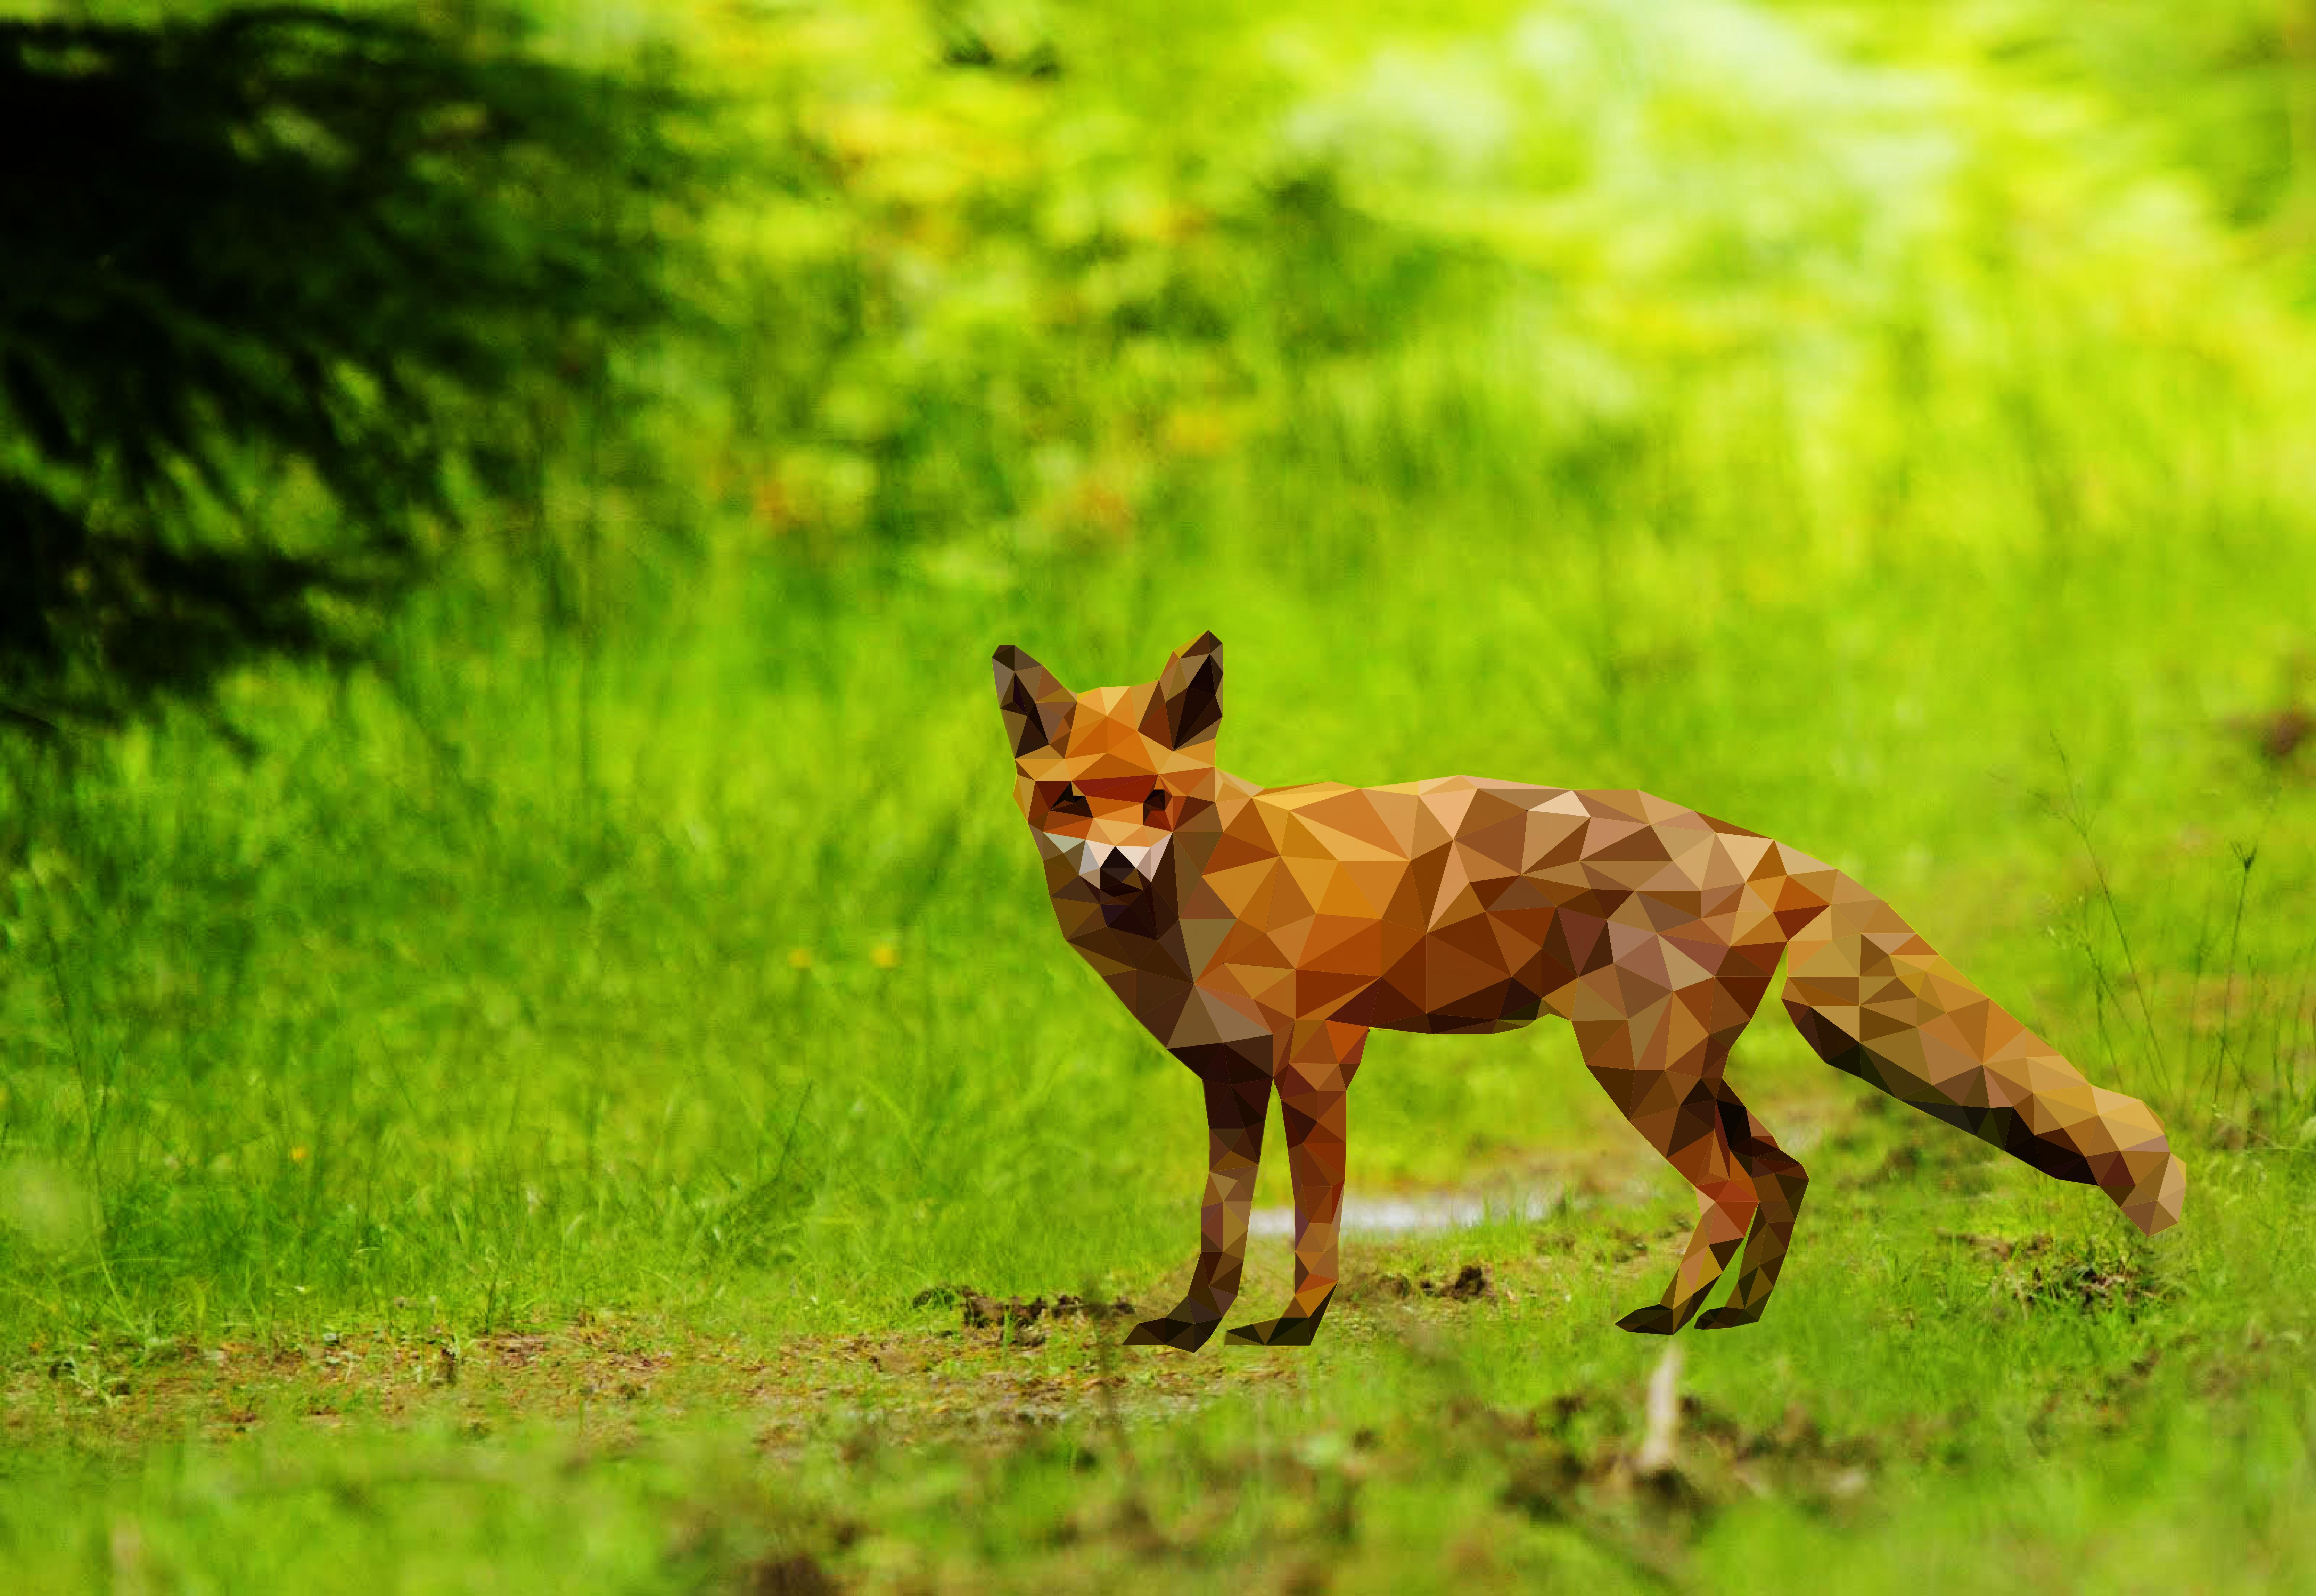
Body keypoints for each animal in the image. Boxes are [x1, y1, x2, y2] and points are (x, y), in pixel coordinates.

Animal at [993, 632, 2185, 1349]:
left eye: (1157, 798)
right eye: (1070, 800)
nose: (1114, 869)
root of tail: (1762, 841)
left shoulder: (1319, 1058)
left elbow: (1312, 1223)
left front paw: (1296, 1325)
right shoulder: (1229, 1077)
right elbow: (1220, 1223)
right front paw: (1190, 1324)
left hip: (1635, 1066)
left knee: (1738, 1189)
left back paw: (1666, 1315)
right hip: (1681, 1072)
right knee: (1788, 1175)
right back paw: (1735, 1318)